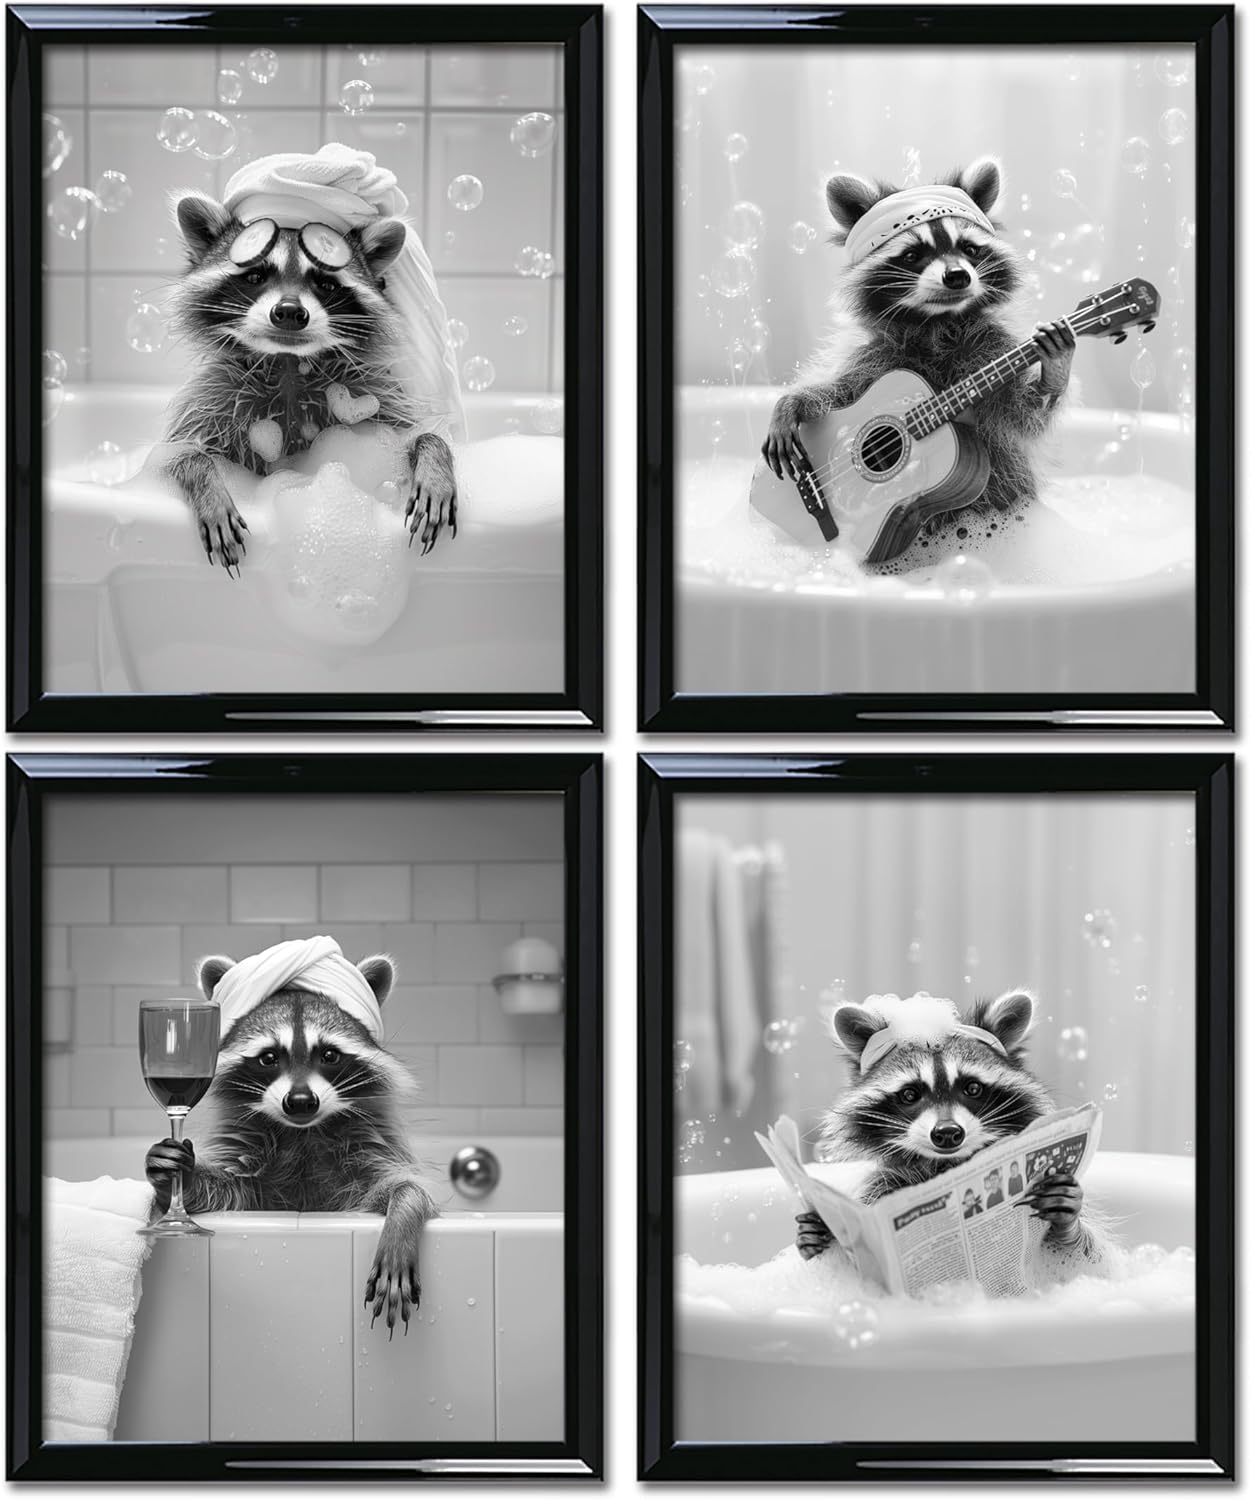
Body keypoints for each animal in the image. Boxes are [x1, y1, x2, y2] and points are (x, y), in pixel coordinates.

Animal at [145, 952, 434, 1336]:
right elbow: (229, 1191)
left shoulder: (370, 1152)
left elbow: (405, 1188)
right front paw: (181, 1177)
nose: (299, 1102)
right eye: (269, 1057)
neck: (303, 1135)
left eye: (329, 1055)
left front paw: (402, 1213)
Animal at [161, 194, 457, 572]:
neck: (289, 364)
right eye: (255, 275)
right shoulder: (215, 399)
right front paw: (207, 482)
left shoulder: (372, 393)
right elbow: (178, 457)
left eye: (326, 283)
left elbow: (419, 434)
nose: (289, 312)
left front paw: (434, 458)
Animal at [762, 159, 1075, 553]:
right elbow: (840, 393)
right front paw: (794, 401)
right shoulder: (873, 357)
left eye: (969, 249)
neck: (936, 324)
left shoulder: (992, 347)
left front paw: (1055, 370)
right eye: (913, 255)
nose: (957, 276)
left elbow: (1022, 415)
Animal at [795, 990, 1110, 1281]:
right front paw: (825, 1236)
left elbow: (1090, 1260)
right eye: (910, 1094)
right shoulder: (881, 1190)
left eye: (972, 1088)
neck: (945, 1167)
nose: (947, 1133)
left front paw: (1067, 1224)